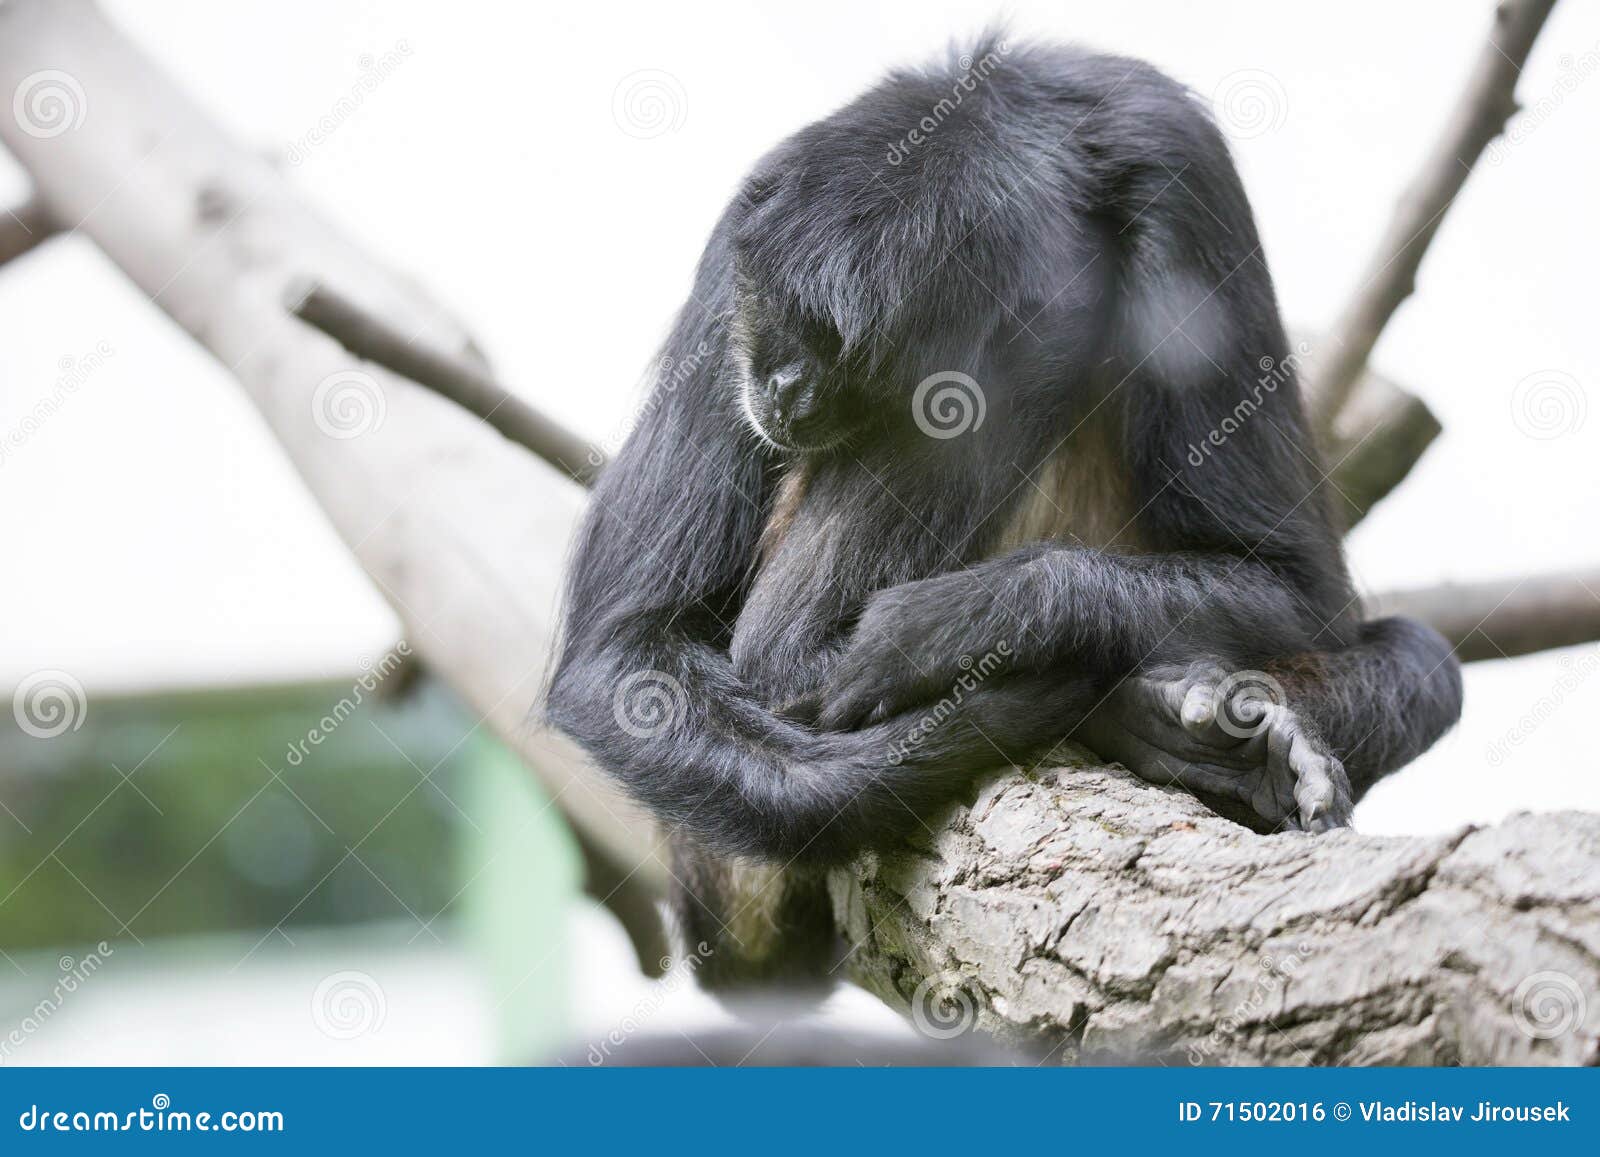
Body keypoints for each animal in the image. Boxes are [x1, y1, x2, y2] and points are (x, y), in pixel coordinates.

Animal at [546, 37, 1463, 988]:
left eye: (855, 356)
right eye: (785, 322)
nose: (785, 384)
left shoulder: (1175, 159)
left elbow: (1298, 591)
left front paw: (945, 627)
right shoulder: (736, 265)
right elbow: (624, 657)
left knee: (1425, 658)